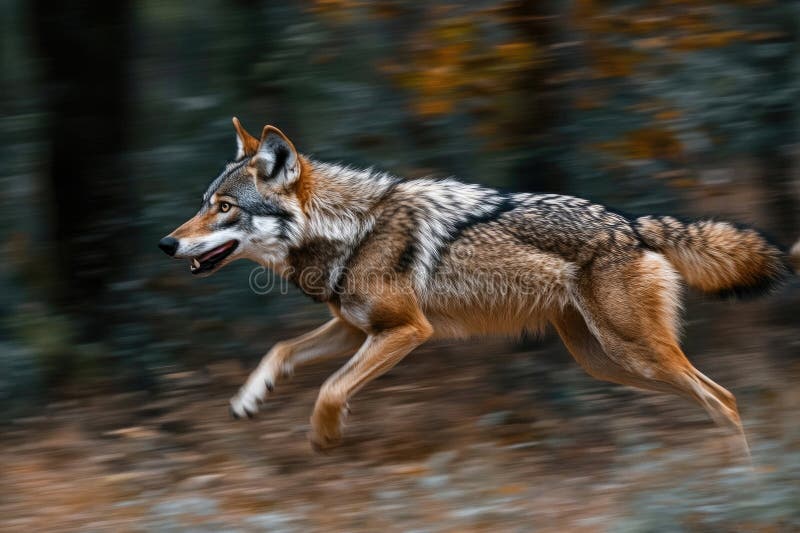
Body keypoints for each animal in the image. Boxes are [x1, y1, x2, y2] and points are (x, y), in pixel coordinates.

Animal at [159, 118, 797, 453]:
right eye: (203, 203)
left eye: (224, 209)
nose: (166, 243)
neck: (351, 230)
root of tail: (635, 227)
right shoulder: (353, 329)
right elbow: (281, 350)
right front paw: (250, 399)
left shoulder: (406, 331)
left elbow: (331, 390)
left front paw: (325, 438)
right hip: (611, 364)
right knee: (712, 398)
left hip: (635, 353)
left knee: (722, 397)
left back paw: (737, 480)